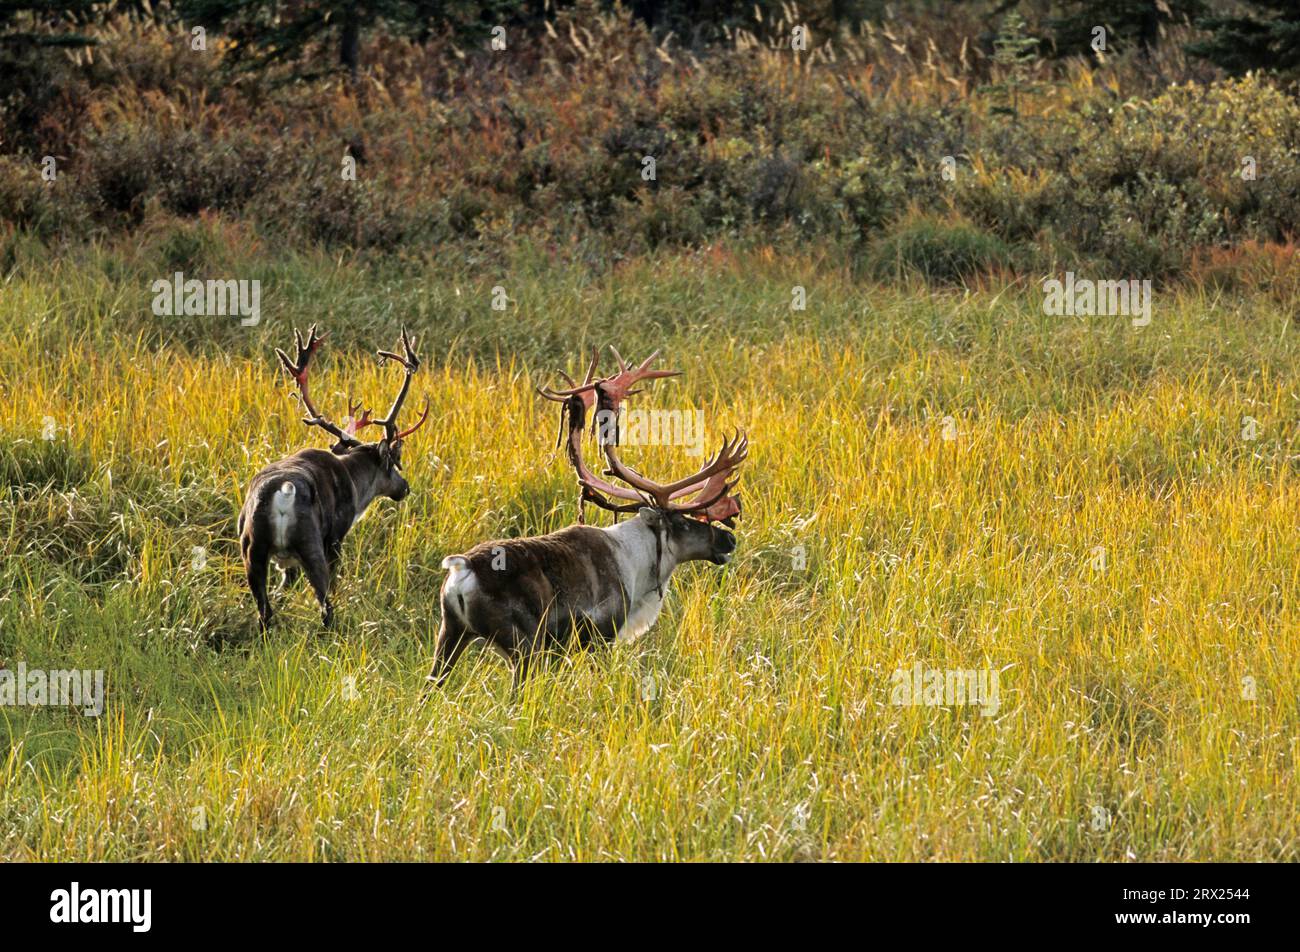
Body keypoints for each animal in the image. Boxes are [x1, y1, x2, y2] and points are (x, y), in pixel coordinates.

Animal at [238, 324, 429, 630]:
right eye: (394, 465)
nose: (405, 488)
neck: (354, 479)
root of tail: (283, 492)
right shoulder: (337, 536)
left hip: (251, 550)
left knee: (265, 613)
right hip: (312, 545)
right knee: (325, 606)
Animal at [427, 347, 746, 690]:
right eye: (684, 521)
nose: (729, 538)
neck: (639, 564)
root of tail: (463, 567)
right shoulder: (600, 634)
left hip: (450, 632)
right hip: (523, 644)